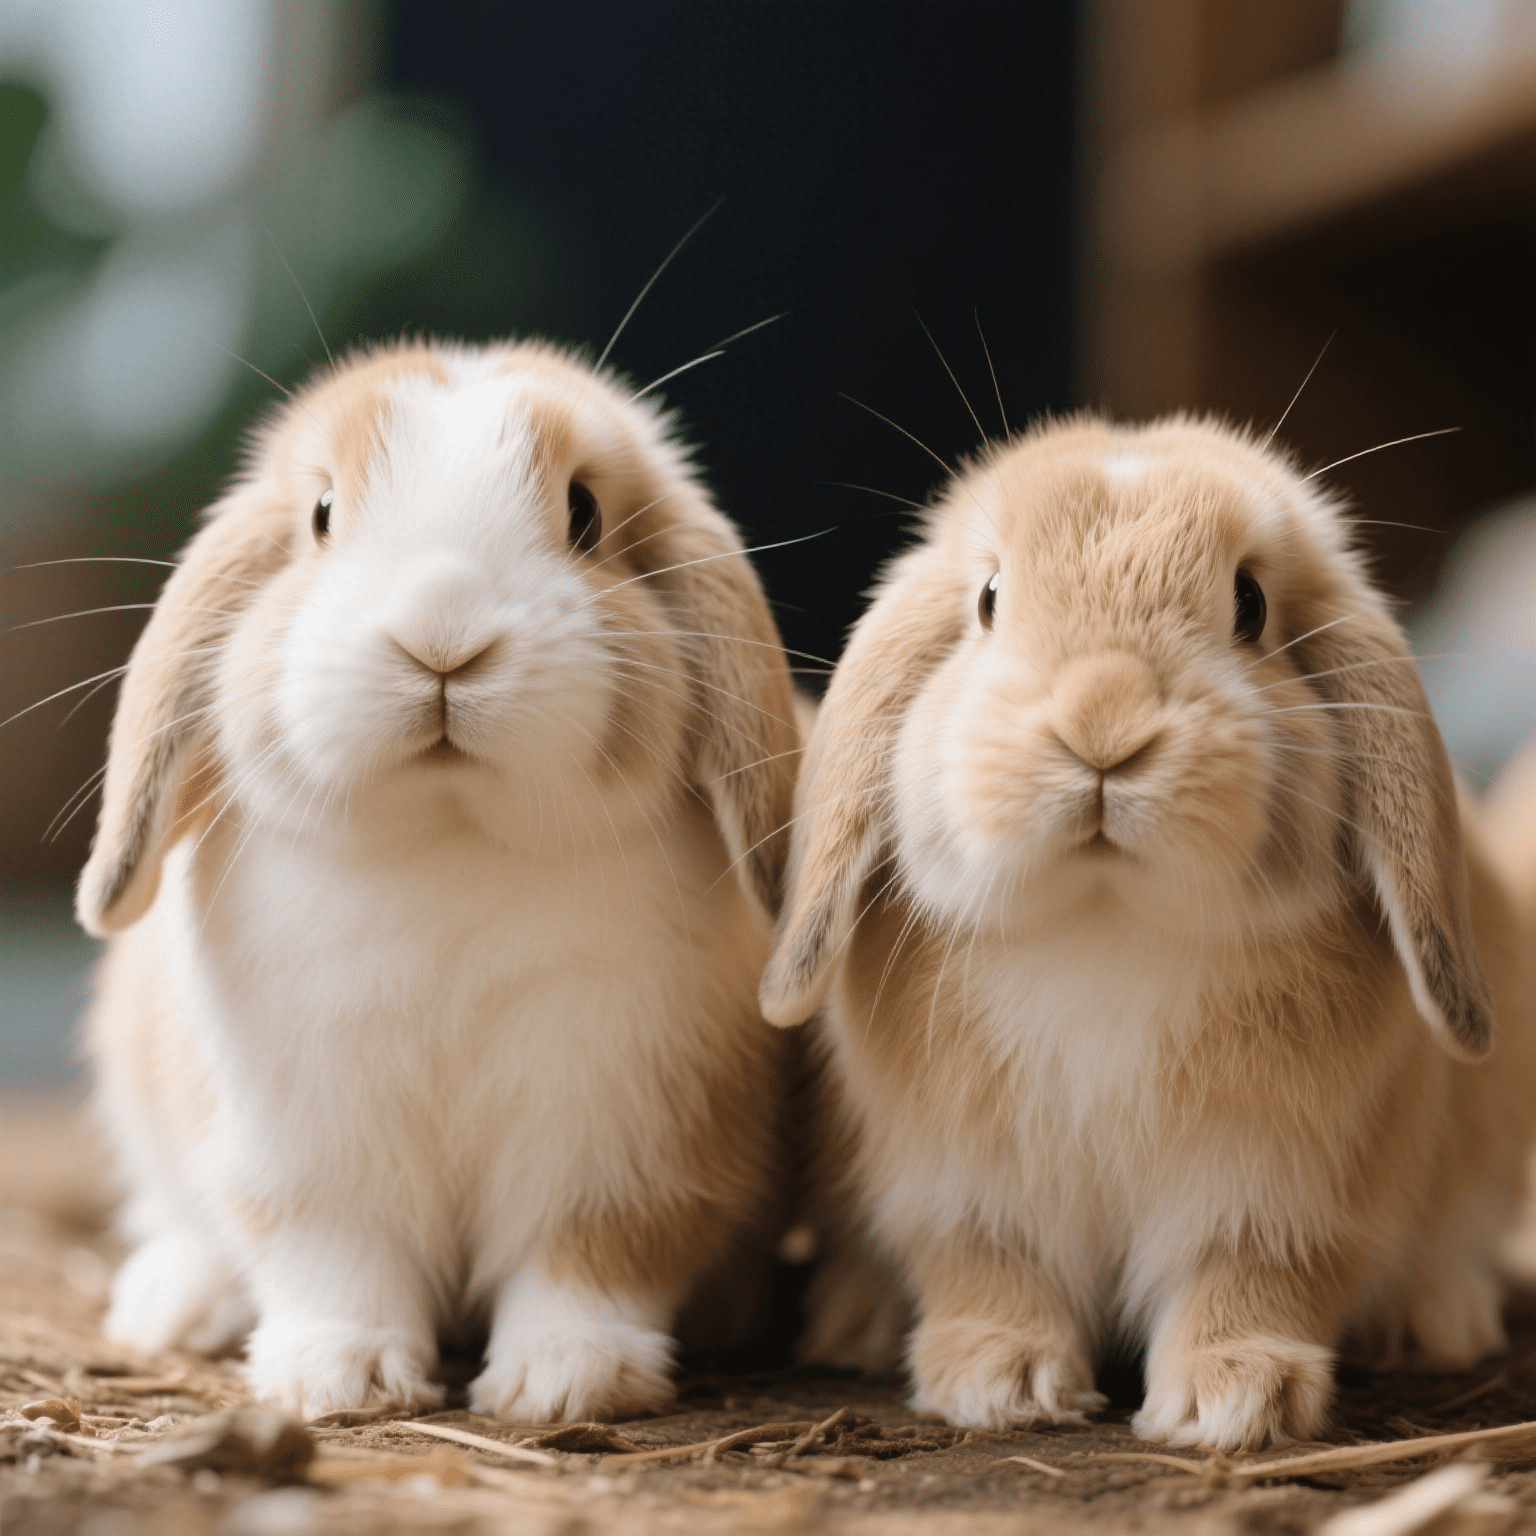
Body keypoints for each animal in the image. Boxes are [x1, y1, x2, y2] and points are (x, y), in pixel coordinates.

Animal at [78, 337, 801, 1422]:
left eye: (585, 514)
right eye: (321, 514)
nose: (442, 634)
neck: (449, 838)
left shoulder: (622, 1136)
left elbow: (591, 1259)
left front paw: (565, 1383)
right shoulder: (311, 1148)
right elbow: (335, 1260)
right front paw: (340, 1377)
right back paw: (179, 1303)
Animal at [759, 413, 1536, 1451]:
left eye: (1250, 603)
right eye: (989, 600)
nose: (1104, 723)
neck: (1106, 925)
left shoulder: (1280, 1189)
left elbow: (1253, 1278)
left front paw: (1231, 1400)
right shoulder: (962, 1185)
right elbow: (988, 1268)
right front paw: (995, 1382)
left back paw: (1435, 1322)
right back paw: (859, 1322)